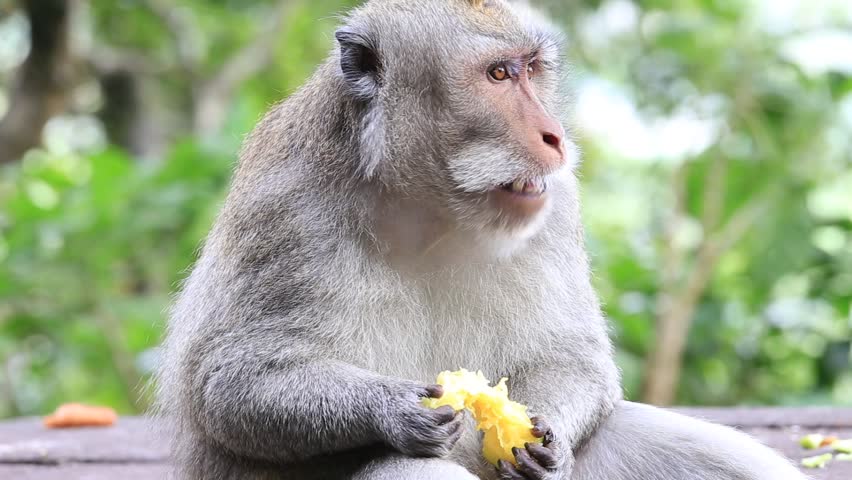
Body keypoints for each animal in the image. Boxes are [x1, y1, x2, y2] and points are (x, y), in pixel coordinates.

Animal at [155, 0, 808, 479]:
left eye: (532, 69)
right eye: (498, 74)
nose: (554, 136)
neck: (429, 208)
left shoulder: (557, 206)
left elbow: (573, 356)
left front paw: (548, 440)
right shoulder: (287, 214)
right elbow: (230, 385)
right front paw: (395, 411)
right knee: (407, 471)